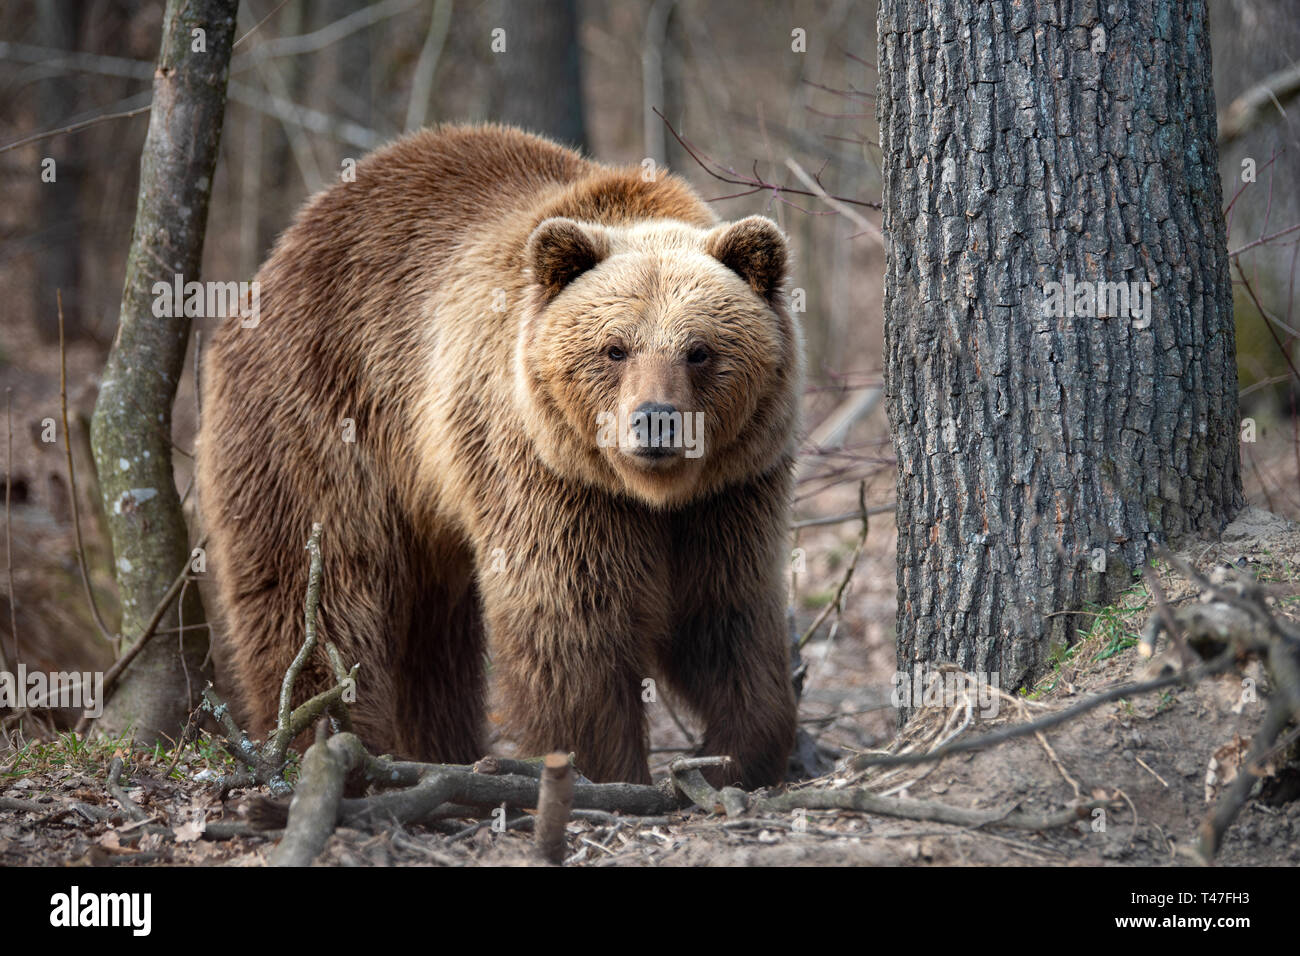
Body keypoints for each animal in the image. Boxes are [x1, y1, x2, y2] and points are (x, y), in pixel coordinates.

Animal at [198, 124, 801, 787]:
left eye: (699, 350)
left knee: (433, 638)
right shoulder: (550, 476)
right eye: (615, 348)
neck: (650, 493)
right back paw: (327, 739)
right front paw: (600, 766)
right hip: (321, 420)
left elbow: (726, 614)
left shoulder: (729, 491)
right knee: (316, 593)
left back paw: (438, 750)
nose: (657, 420)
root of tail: (279, 256)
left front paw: (743, 752)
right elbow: (571, 626)